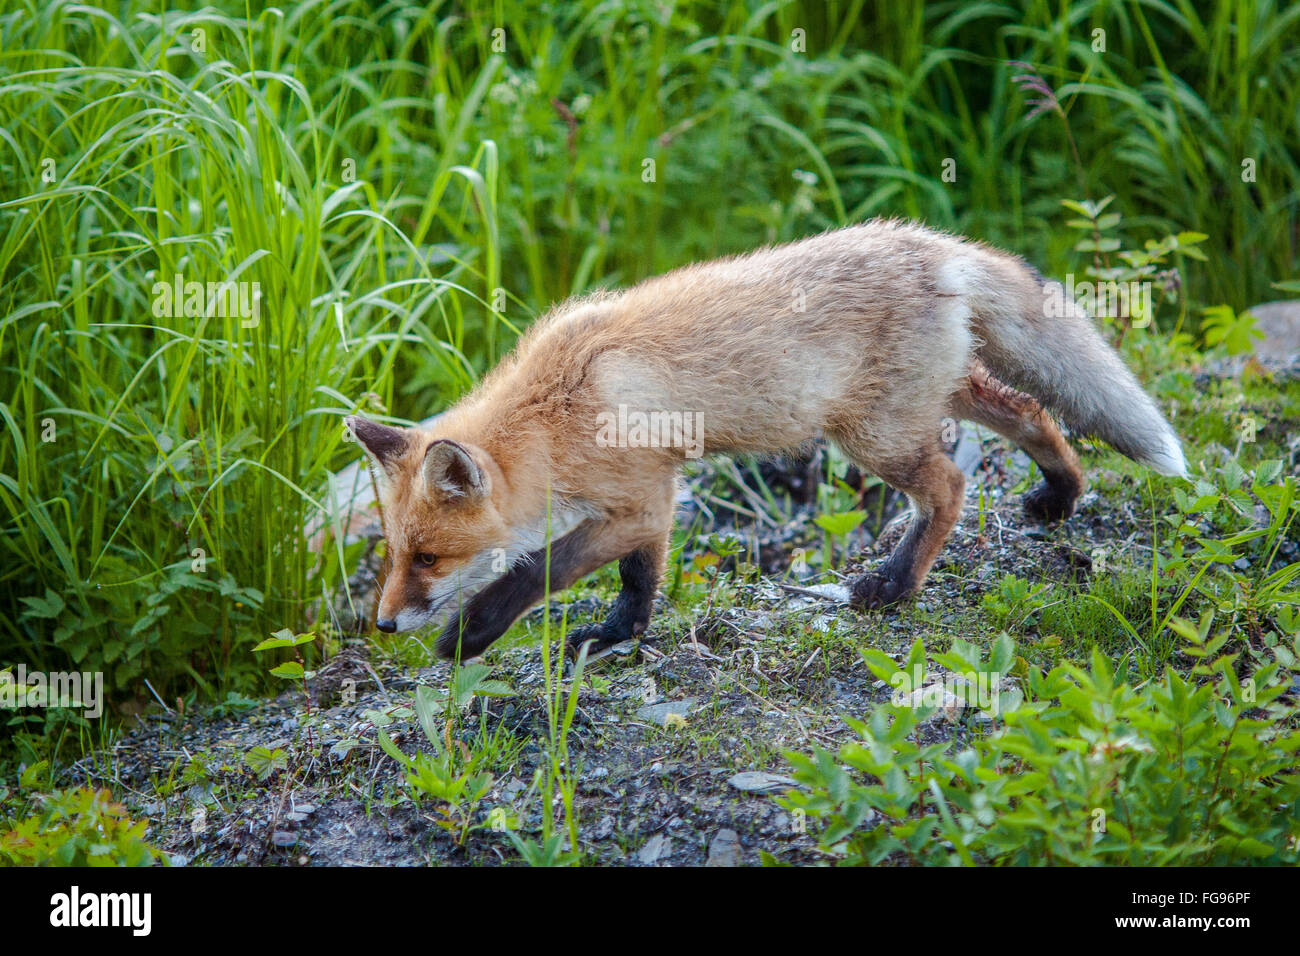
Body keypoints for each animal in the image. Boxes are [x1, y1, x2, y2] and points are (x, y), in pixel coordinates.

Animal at [345, 219, 1186, 661]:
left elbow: (539, 570)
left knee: (949, 486)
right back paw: (1058, 496)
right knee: (1034, 412)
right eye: (393, 554)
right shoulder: (654, 498)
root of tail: (932, 244)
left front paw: (471, 634)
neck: (554, 411)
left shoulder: (638, 500)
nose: (382, 624)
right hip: (930, 399)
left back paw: (894, 586)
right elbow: (640, 581)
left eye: (429, 559)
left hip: (874, 437)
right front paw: (618, 635)